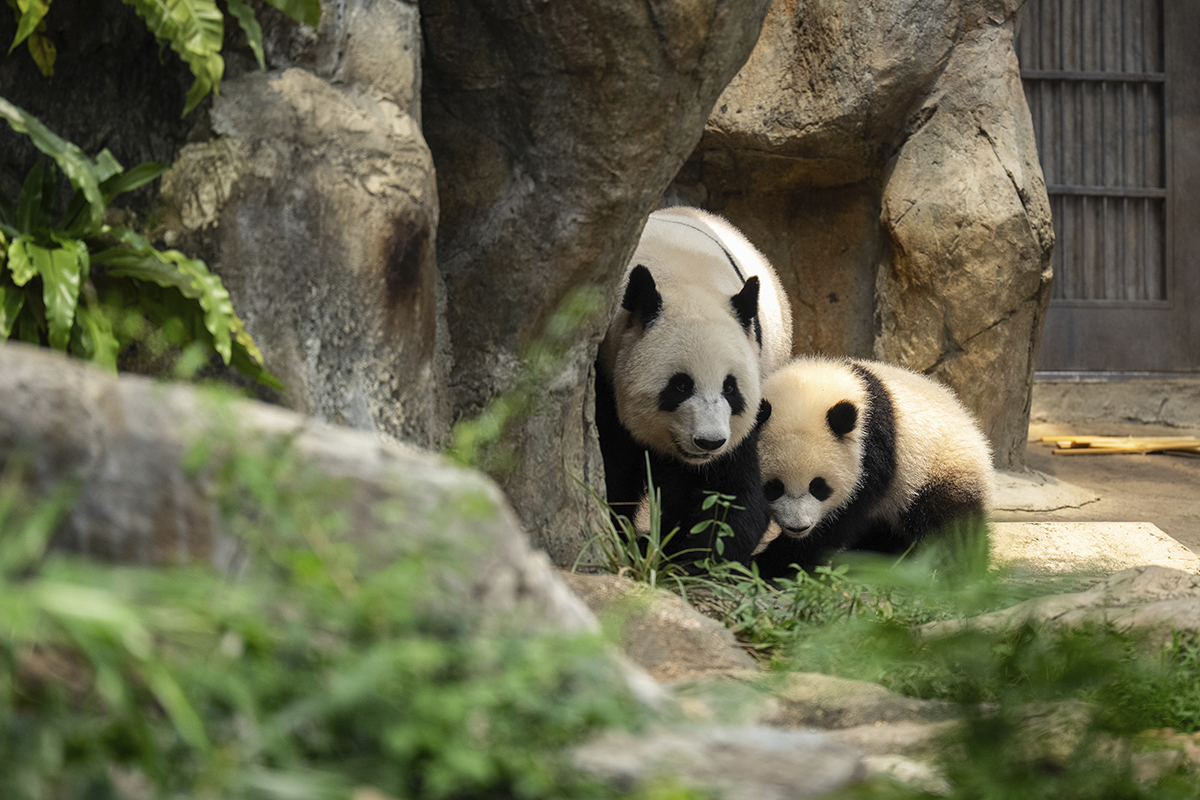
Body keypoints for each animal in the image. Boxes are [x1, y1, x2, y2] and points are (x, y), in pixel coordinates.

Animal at [595, 207, 793, 565]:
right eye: (680, 386)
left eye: (730, 388)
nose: (709, 442)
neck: (686, 280)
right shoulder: (606, 367)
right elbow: (613, 468)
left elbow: (730, 491)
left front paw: (688, 556)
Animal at [752, 356, 994, 579]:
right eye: (773, 487)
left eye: (818, 487)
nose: (798, 527)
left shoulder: (870, 449)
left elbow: (840, 520)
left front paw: (769, 563)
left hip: (938, 469)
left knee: (953, 525)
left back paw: (964, 569)